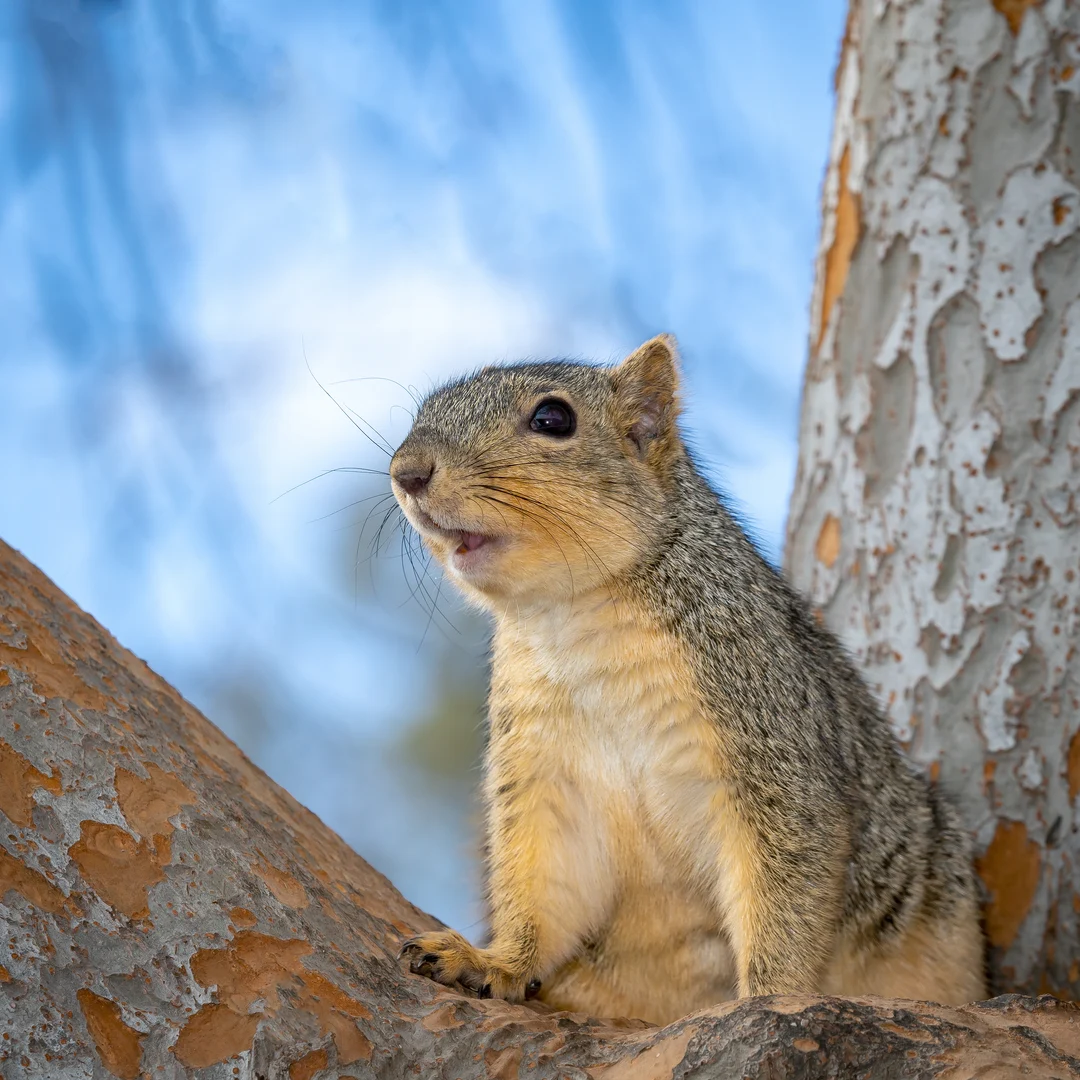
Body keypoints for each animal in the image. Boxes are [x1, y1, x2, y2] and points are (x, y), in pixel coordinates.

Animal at [391, 335, 987, 1024]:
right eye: (424, 411)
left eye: (552, 418)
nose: (406, 471)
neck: (576, 617)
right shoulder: (546, 771)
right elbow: (544, 886)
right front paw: (493, 962)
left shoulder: (767, 734)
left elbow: (787, 879)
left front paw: (770, 995)